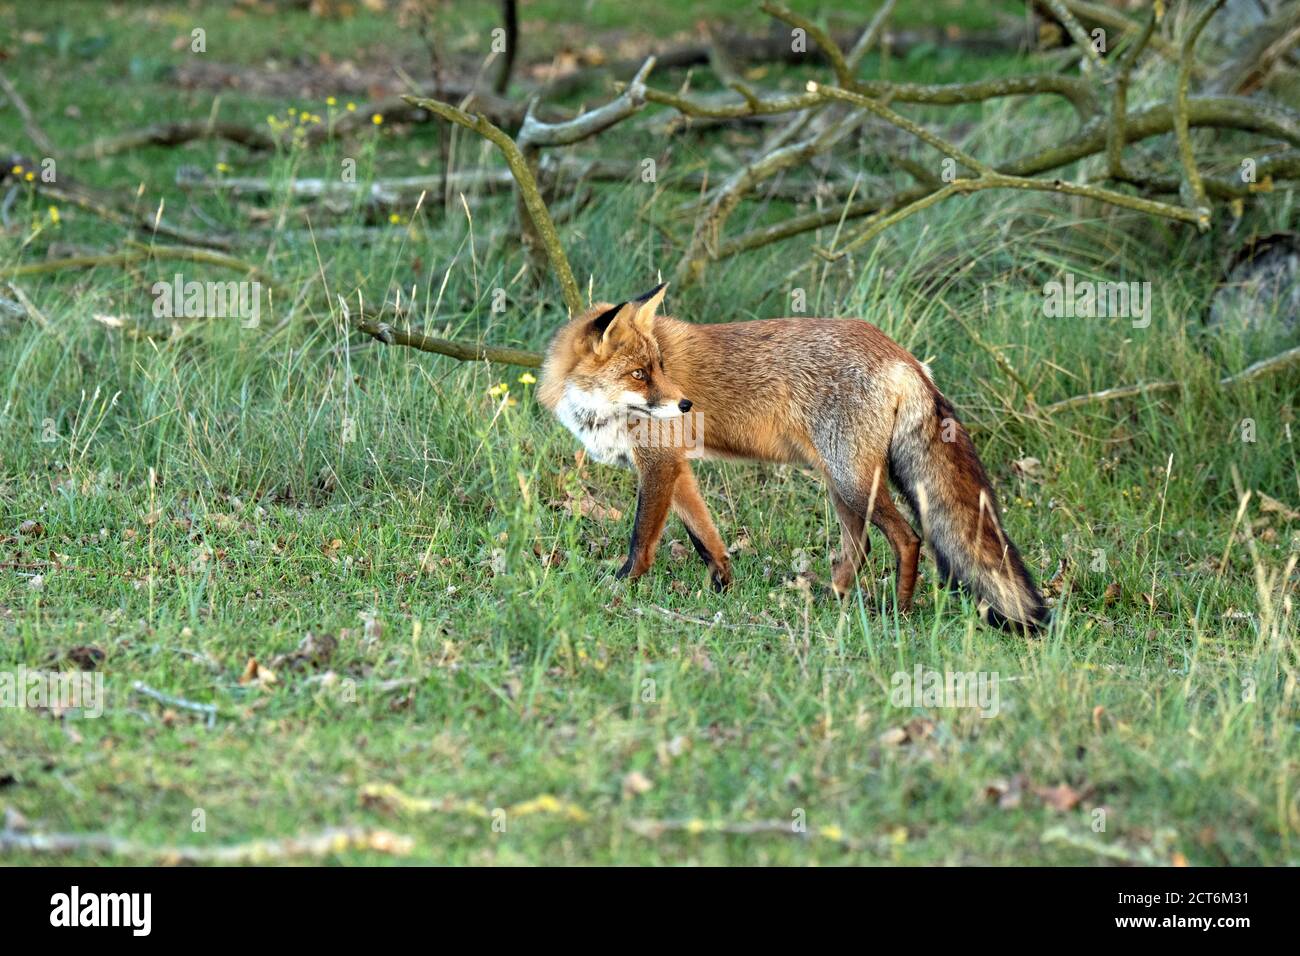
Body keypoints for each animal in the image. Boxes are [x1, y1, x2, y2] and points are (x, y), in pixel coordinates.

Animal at [538, 283, 1050, 632]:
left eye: (658, 368)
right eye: (640, 373)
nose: (684, 405)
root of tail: (902, 354)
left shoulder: (659, 464)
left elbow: (641, 540)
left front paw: (621, 585)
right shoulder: (677, 468)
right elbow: (706, 538)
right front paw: (723, 585)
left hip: (851, 480)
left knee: (907, 538)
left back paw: (898, 613)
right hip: (840, 482)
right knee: (861, 546)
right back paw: (832, 598)